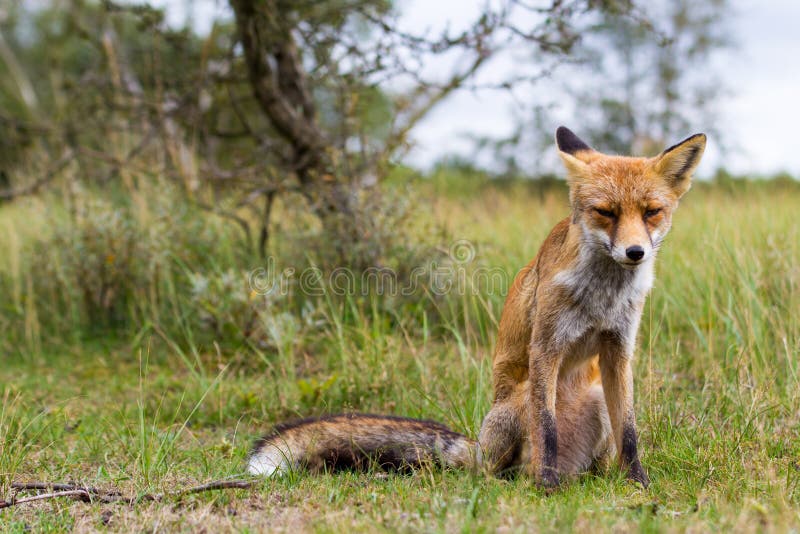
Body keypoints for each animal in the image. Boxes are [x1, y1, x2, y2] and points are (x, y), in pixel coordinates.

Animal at [247, 126, 706, 488]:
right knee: (497, 471)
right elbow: (547, 430)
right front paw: (547, 486)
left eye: (652, 212)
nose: (635, 253)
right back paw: (528, 478)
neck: (601, 296)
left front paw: (638, 483)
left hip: (593, 396)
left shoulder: (618, 350)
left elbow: (630, 433)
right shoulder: (546, 348)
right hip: (518, 403)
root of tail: (478, 445)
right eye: (606, 212)